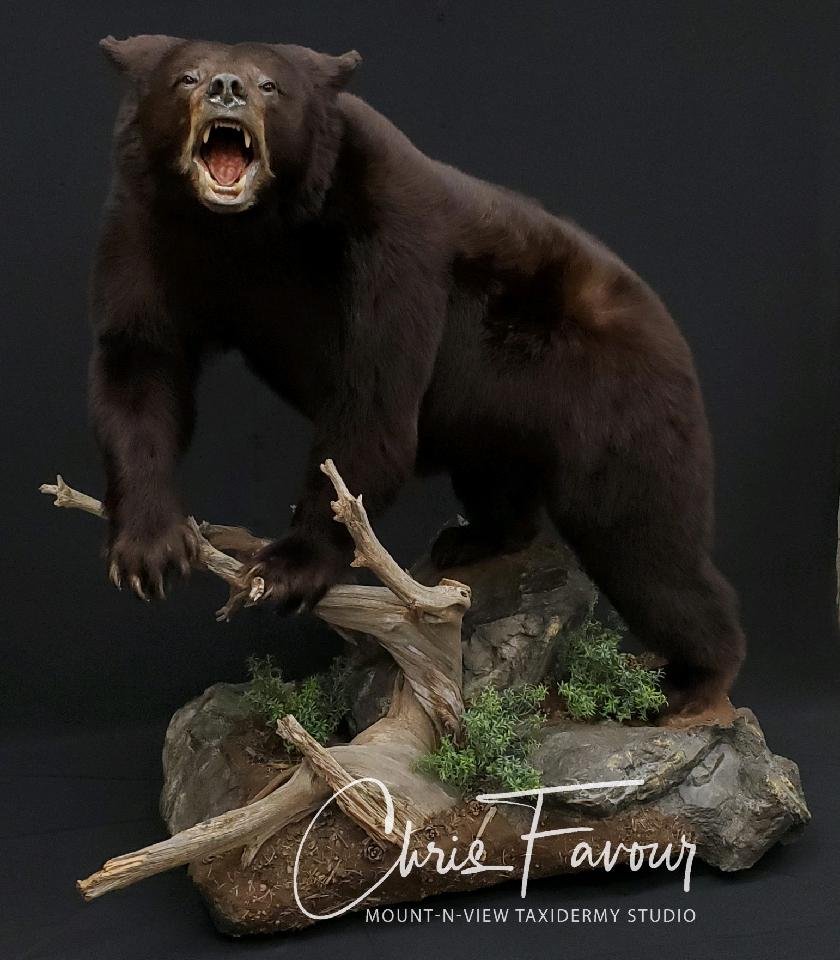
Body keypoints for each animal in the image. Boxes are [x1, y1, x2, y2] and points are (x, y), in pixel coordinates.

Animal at [89, 34, 745, 717]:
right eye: (186, 77)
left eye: (271, 85)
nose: (227, 89)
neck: (244, 230)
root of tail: (675, 342)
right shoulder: (146, 232)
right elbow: (139, 366)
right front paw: (148, 547)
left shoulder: (390, 235)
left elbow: (373, 407)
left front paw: (285, 567)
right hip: (501, 423)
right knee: (508, 487)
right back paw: (474, 537)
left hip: (621, 411)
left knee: (645, 545)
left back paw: (693, 680)